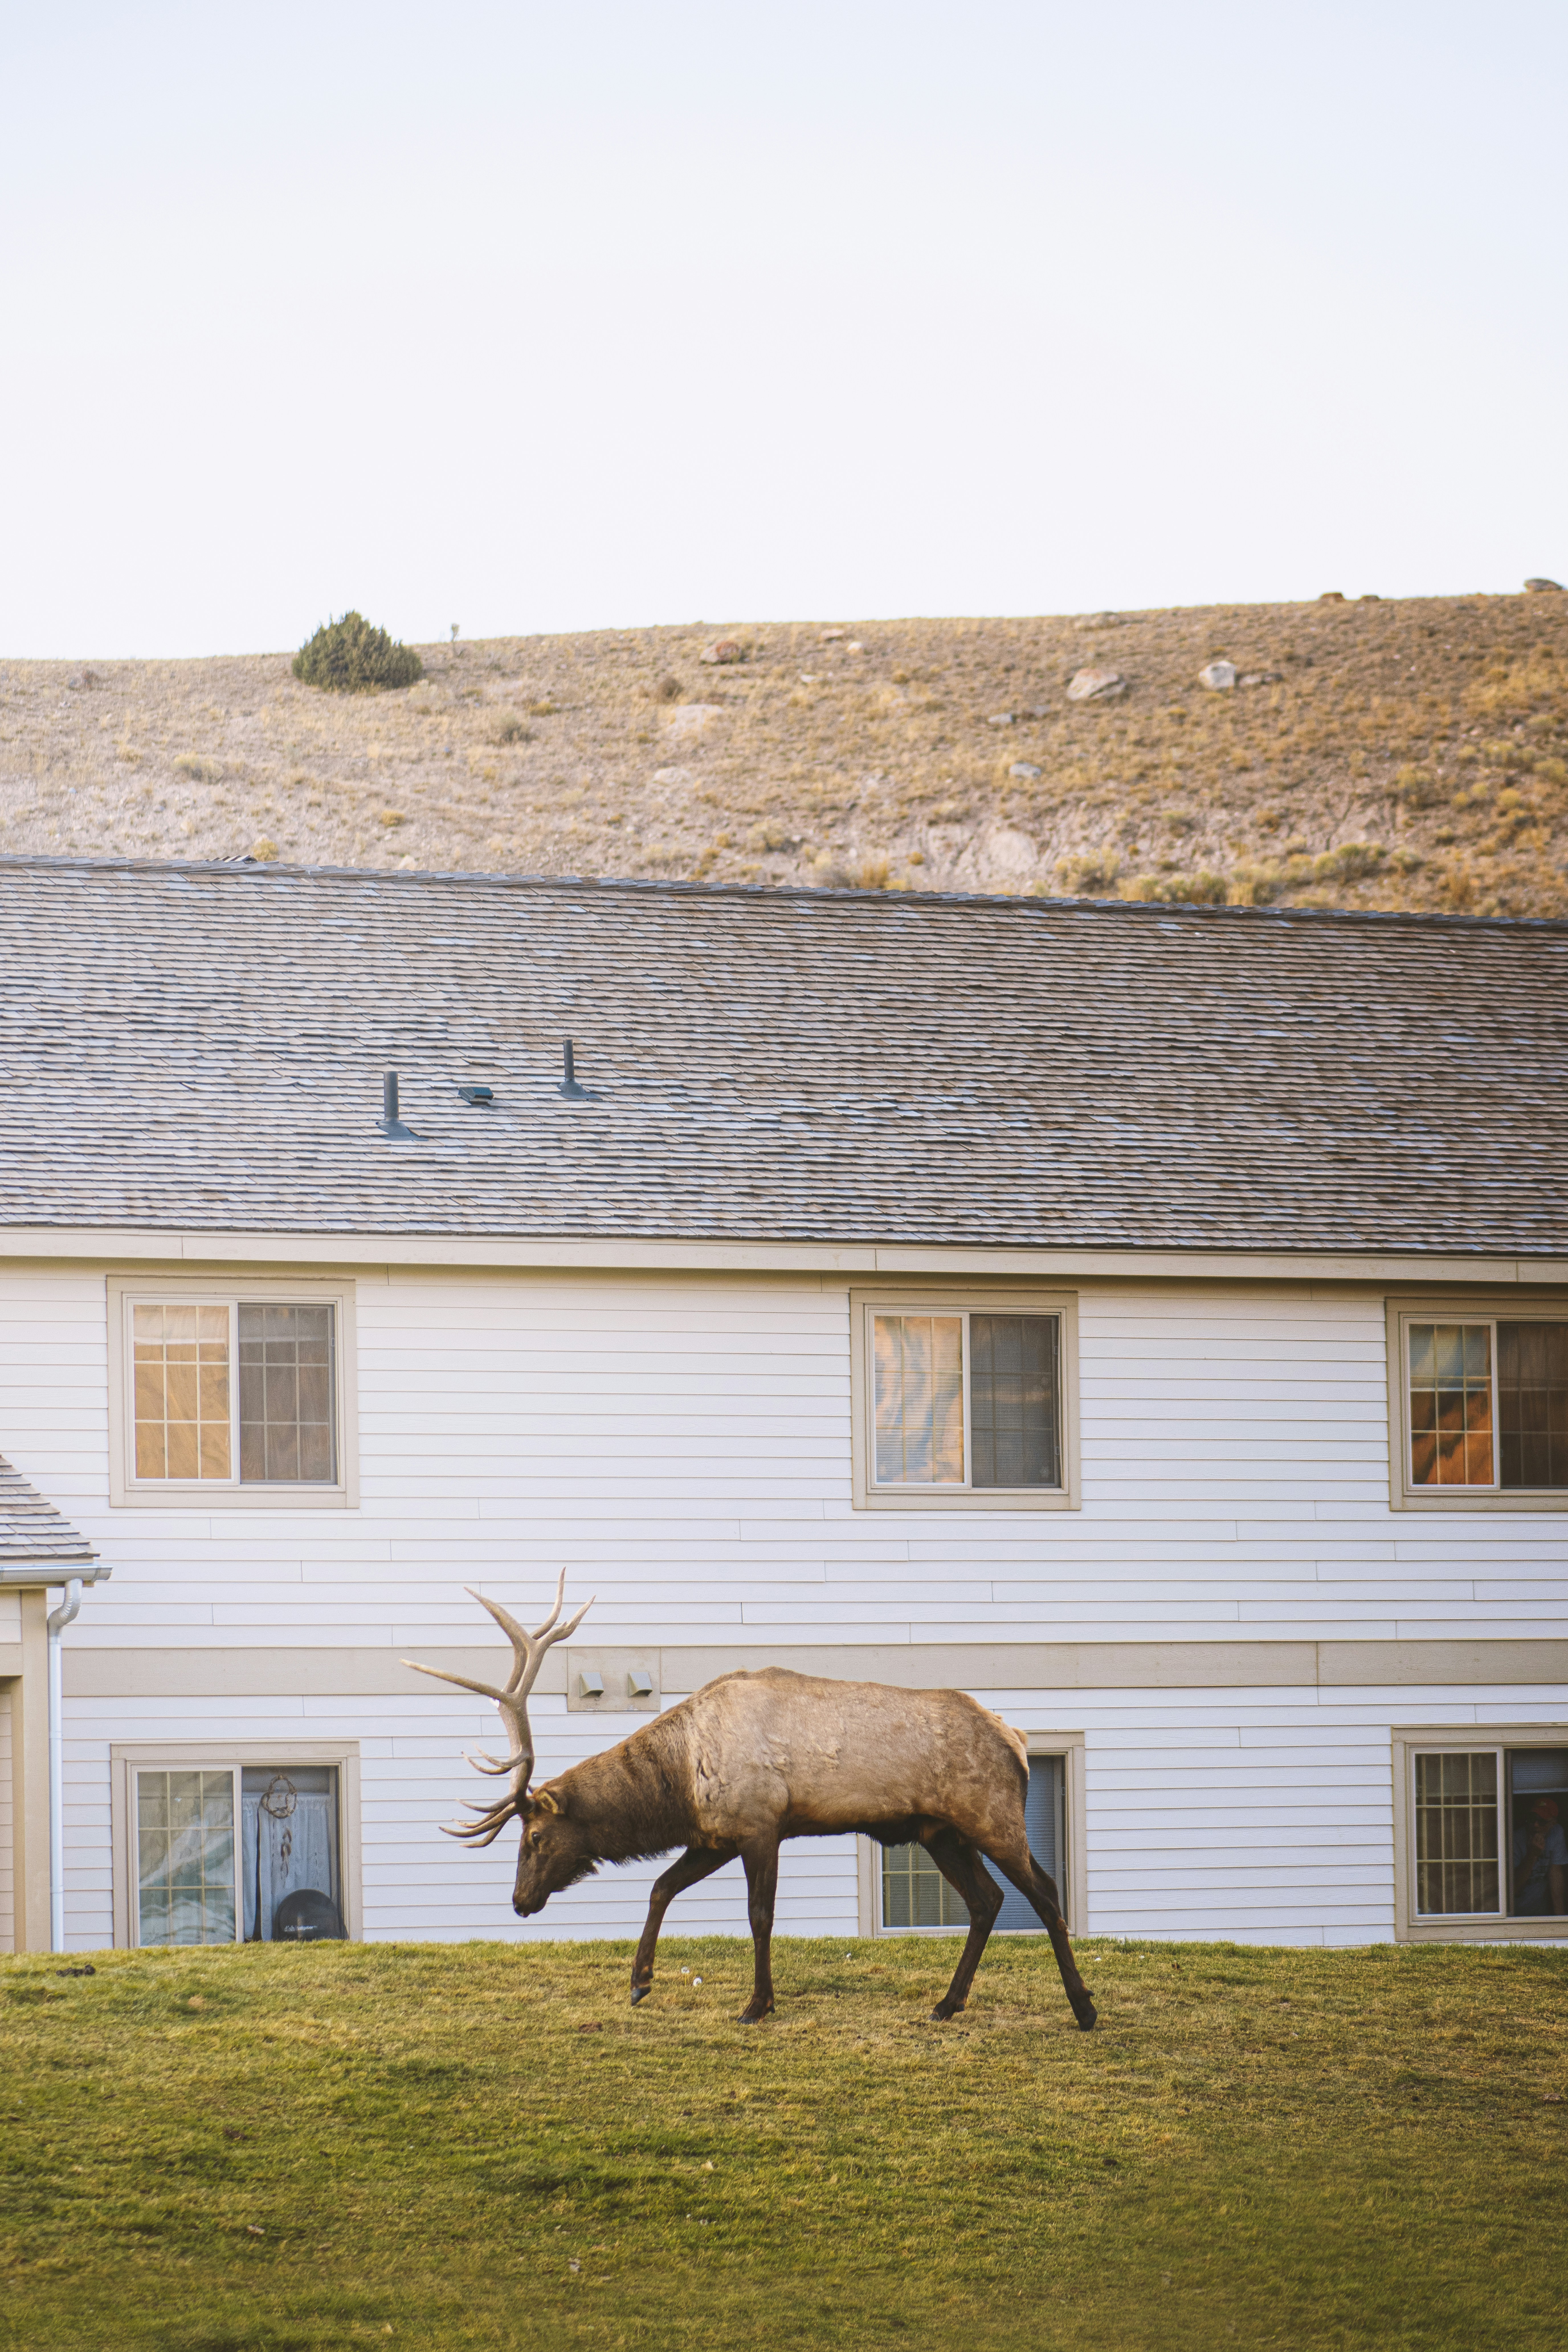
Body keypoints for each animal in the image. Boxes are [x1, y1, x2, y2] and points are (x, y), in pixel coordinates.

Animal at [405, 1575, 1096, 2030]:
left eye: (534, 1838)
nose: (519, 1903)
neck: (680, 1781)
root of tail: (1016, 1739)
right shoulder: (715, 1834)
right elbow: (661, 1887)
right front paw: (639, 1983)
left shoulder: (762, 1825)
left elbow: (758, 1916)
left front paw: (756, 2005)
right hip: (938, 1832)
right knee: (987, 1901)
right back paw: (948, 2003)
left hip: (992, 1816)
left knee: (1043, 1892)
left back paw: (1083, 2007)